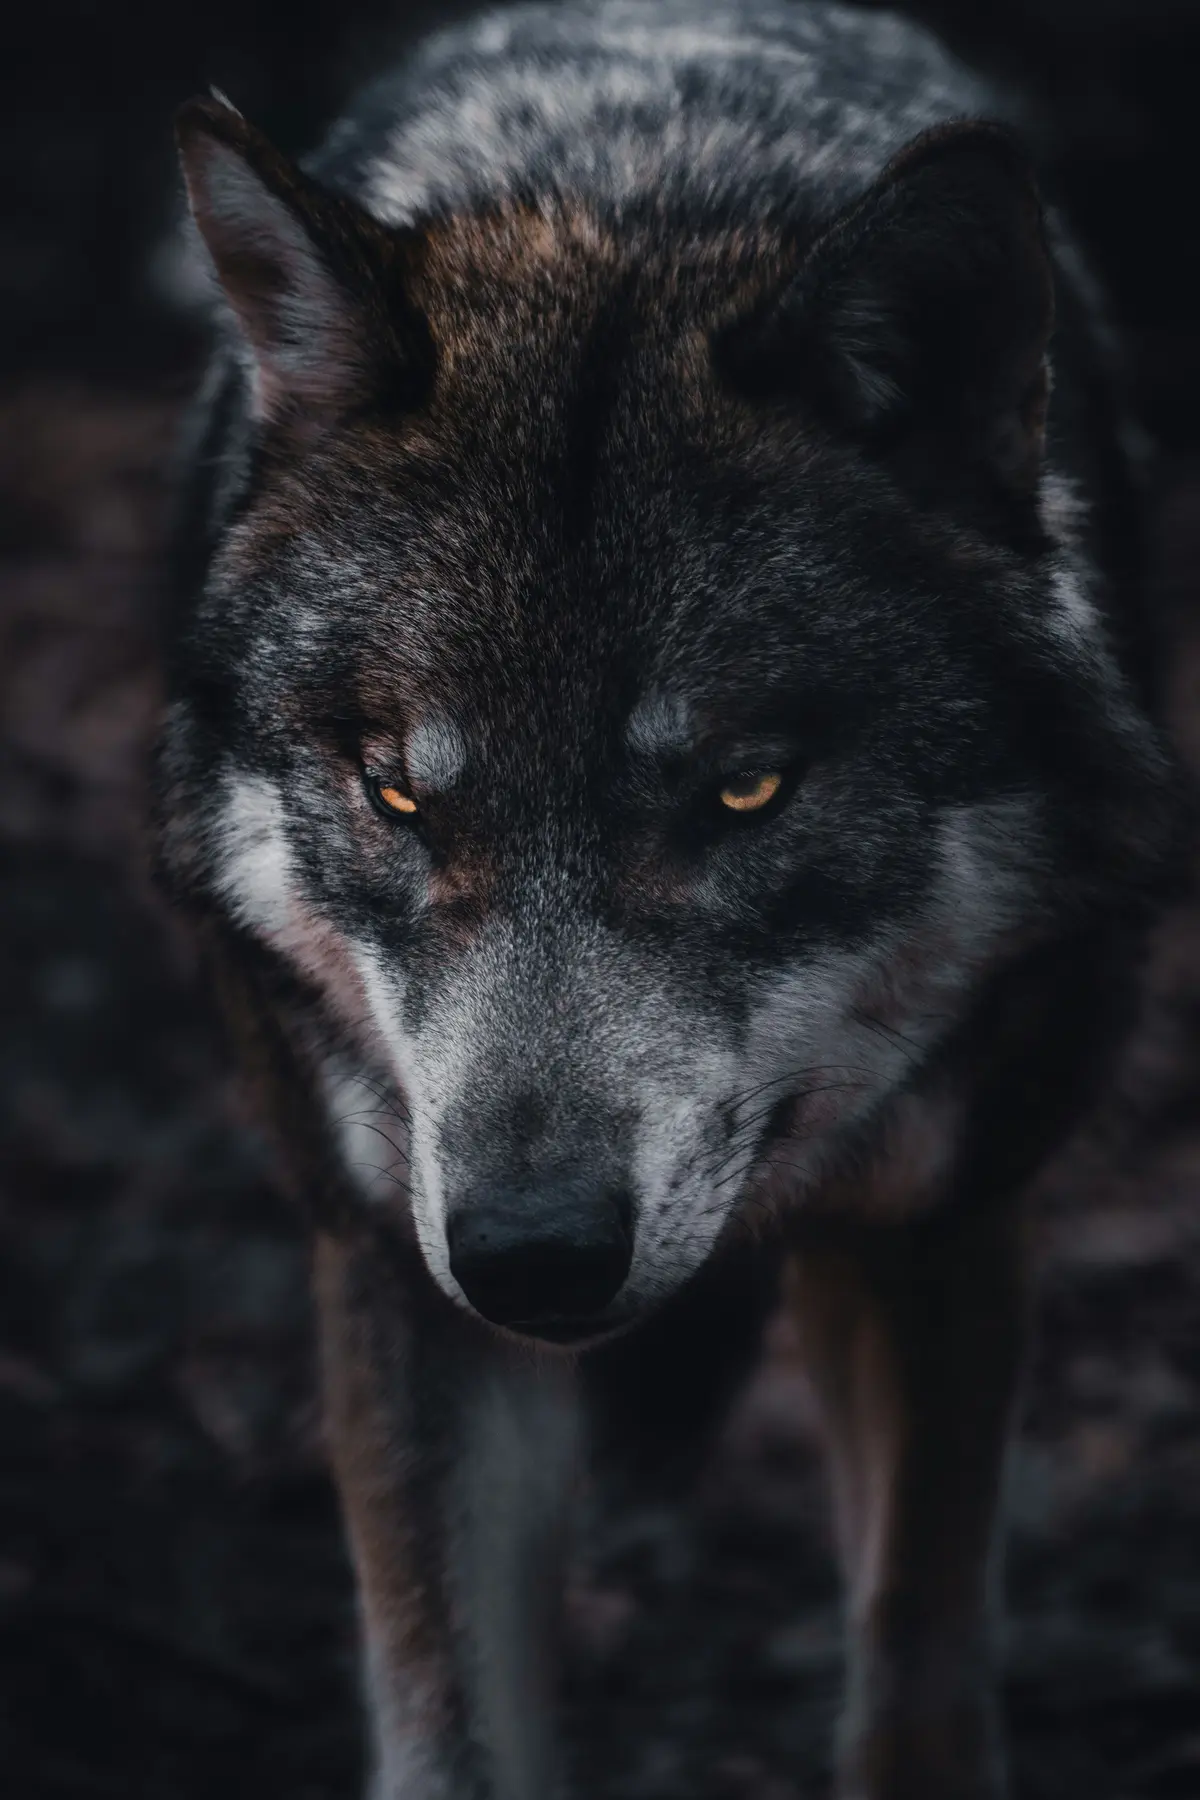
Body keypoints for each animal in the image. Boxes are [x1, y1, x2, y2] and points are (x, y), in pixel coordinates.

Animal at [157, 2, 1186, 1795]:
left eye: (745, 790)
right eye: (399, 793)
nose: (531, 1254)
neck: (631, 192)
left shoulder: (946, 1224)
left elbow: (917, 1670)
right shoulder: (392, 1266)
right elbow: (451, 1728)